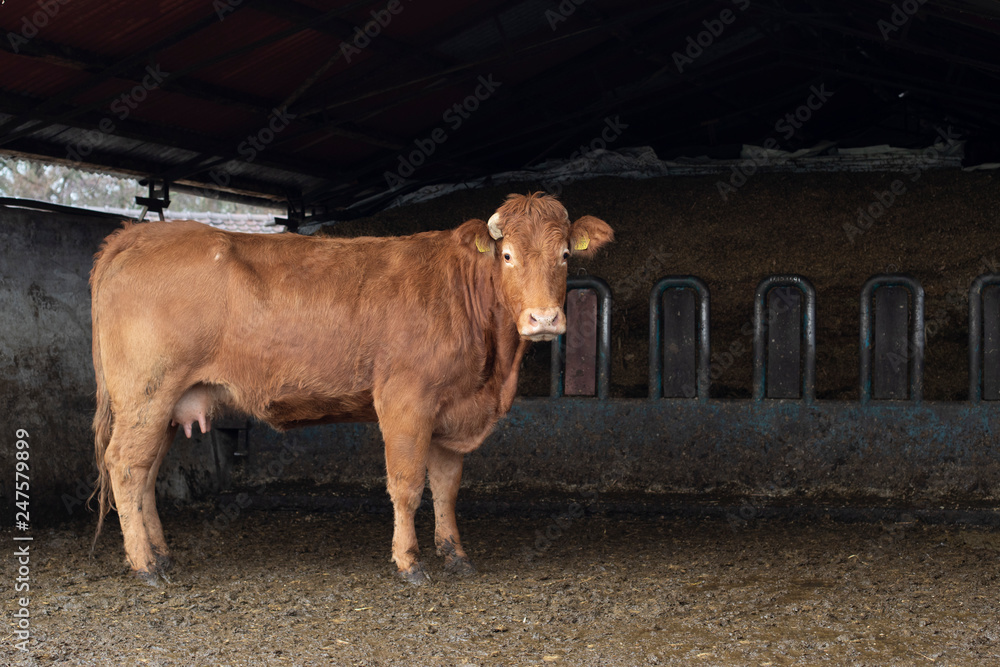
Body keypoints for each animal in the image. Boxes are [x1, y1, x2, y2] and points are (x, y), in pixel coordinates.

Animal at [89, 192, 613, 585]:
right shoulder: (406, 400)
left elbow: (446, 488)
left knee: (145, 474)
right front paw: (409, 563)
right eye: (507, 256)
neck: (492, 371)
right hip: (146, 394)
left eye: (565, 256)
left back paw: (160, 554)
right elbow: (407, 485)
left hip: (163, 405)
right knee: (126, 467)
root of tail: (136, 234)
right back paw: (146, 566)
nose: (544, 319)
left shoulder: (453, 409)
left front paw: (456, 555)